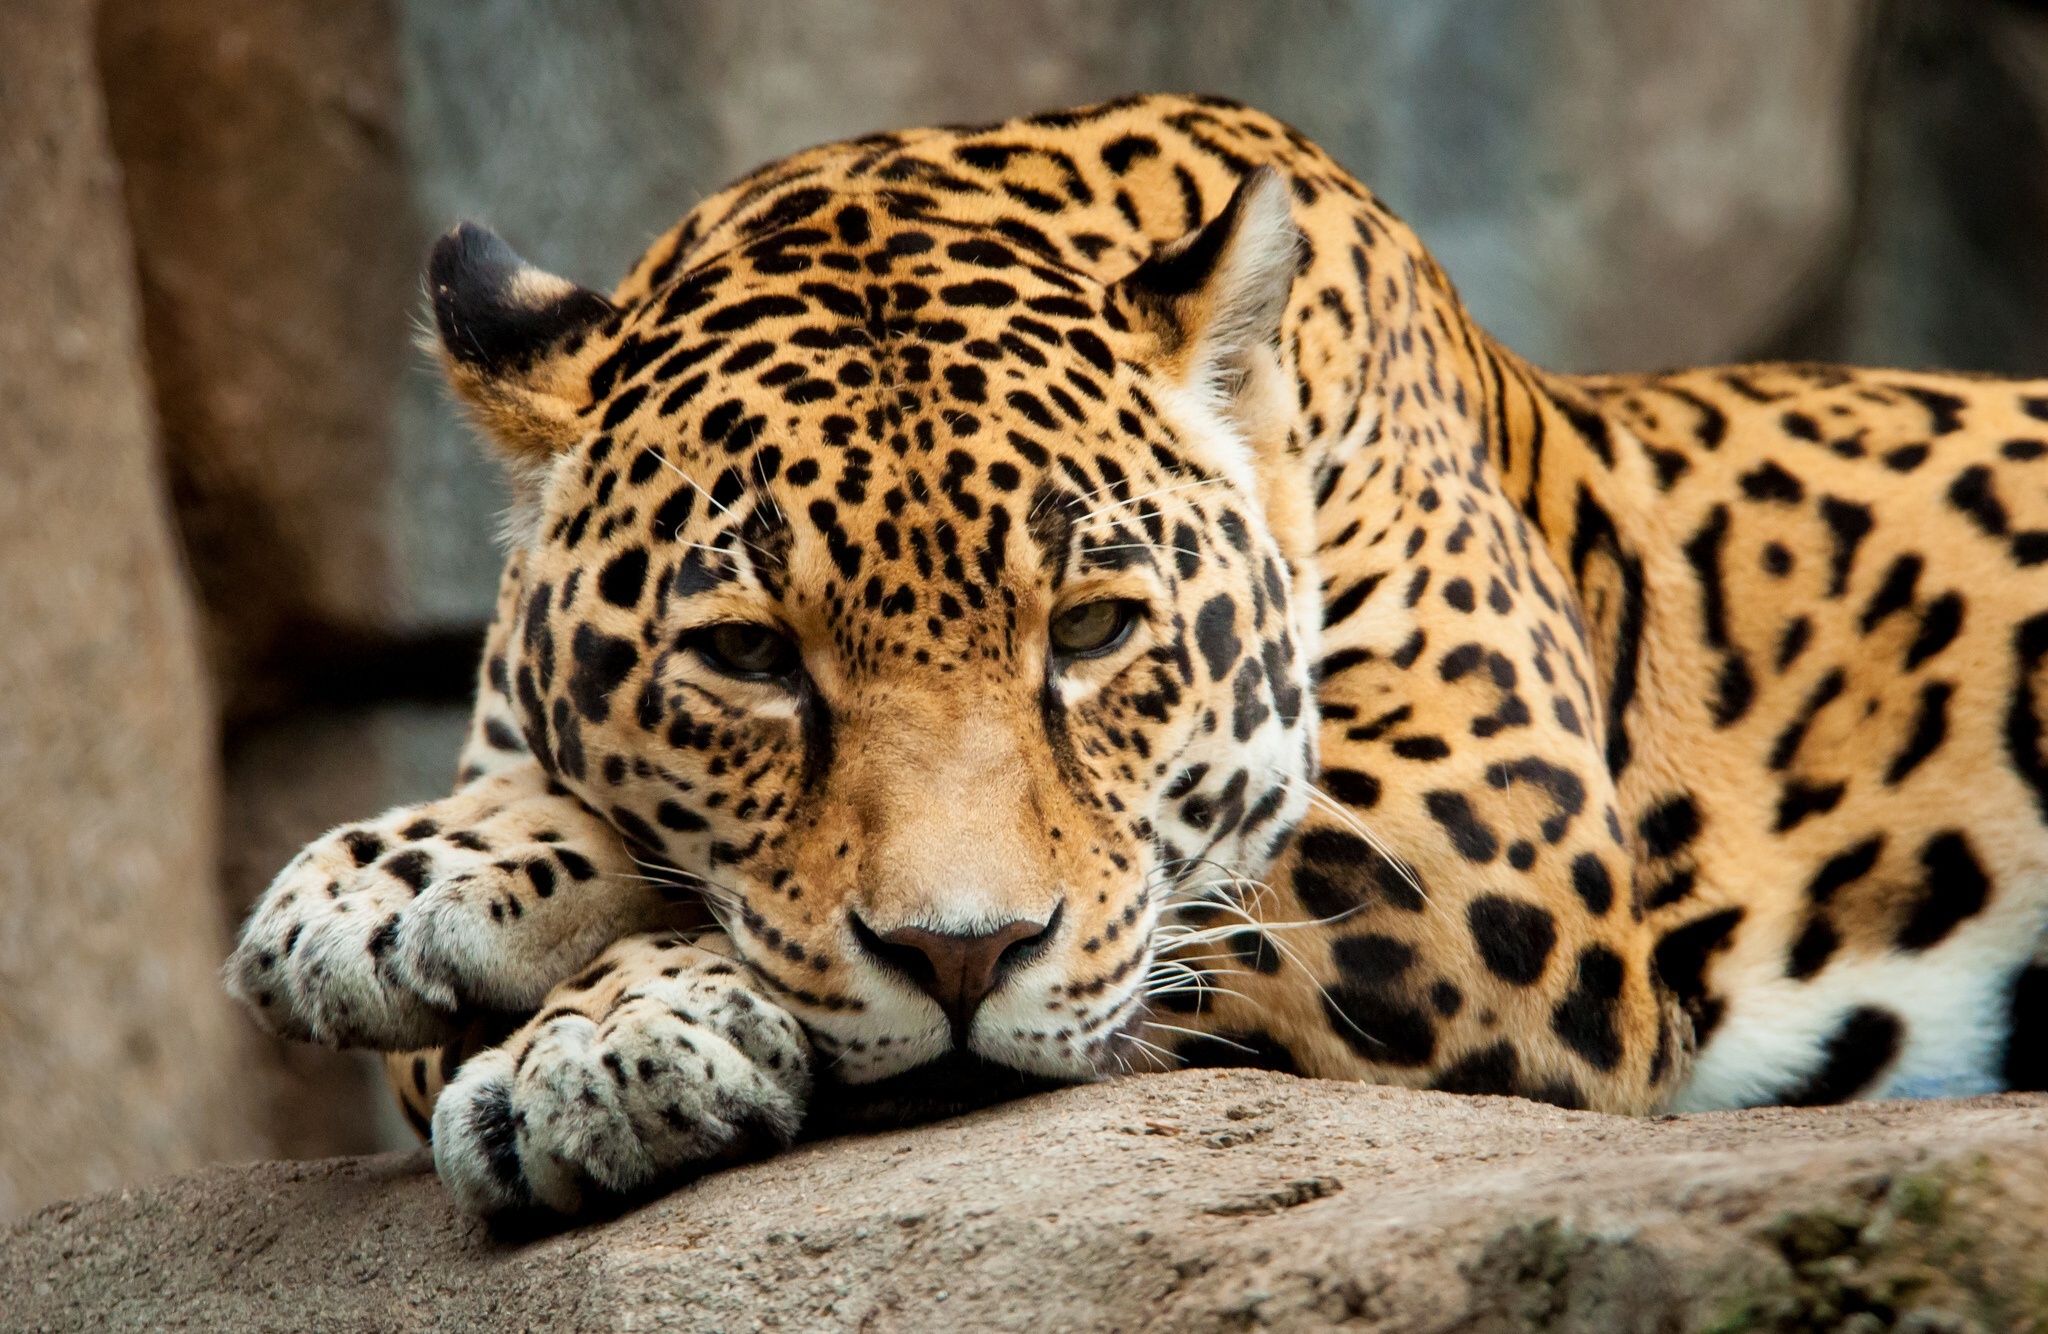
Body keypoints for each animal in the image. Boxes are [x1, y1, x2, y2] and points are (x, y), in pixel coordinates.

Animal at [227, 93, 2048, 1218]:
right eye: (746, 653)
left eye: (1095, 628)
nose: (961, 958)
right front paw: (421, 892)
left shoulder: (1483, 835)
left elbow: (1160, 908)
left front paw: (589, 1037)